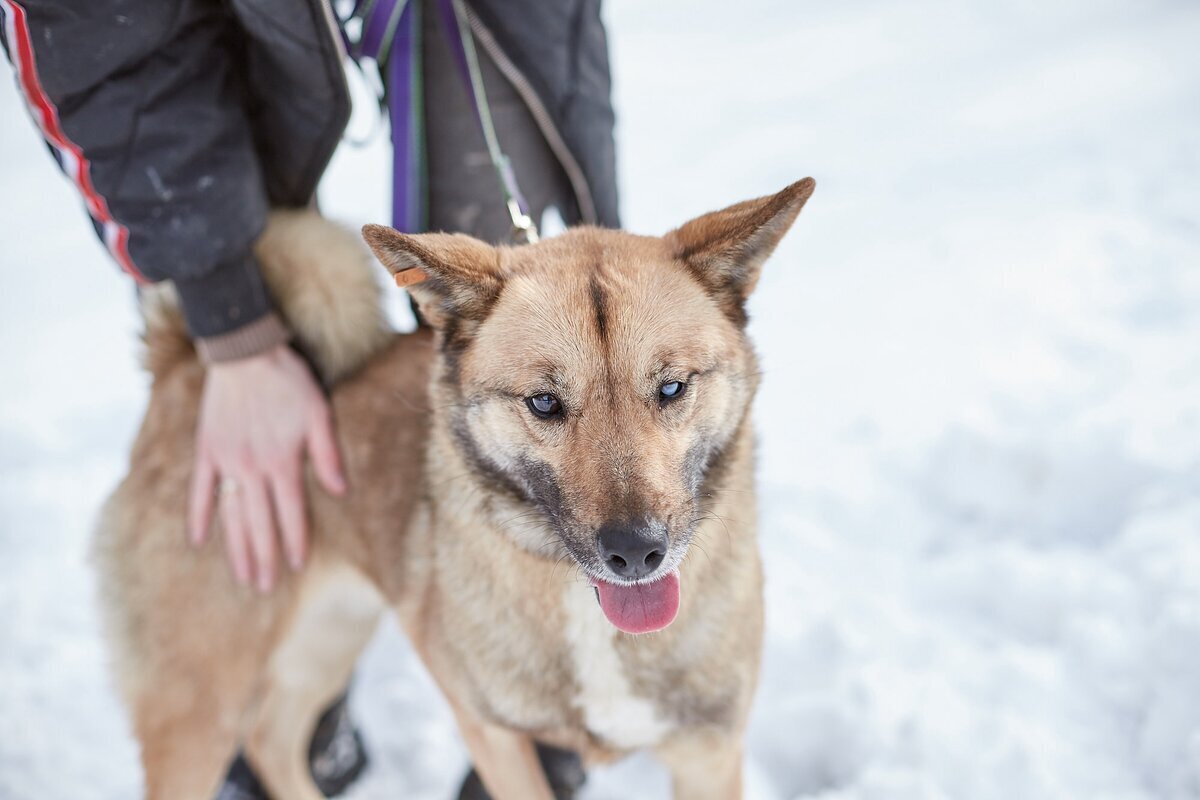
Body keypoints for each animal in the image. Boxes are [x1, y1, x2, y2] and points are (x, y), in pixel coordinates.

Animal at [96, 178, 816, 796]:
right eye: (545, 403)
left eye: (671, 388)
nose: (637, 553)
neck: (581, 606)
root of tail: (184, 367)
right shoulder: (493, 735)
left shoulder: (707, 751)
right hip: (200, 703)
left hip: (327, 638)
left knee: (272, 738)